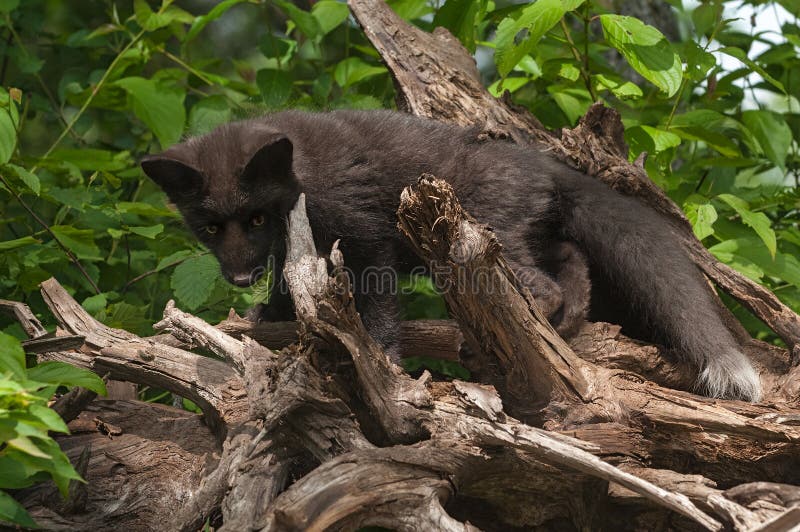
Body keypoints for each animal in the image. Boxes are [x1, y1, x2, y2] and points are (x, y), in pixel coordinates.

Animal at [141, 109, 762, 402]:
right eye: (209, 227)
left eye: (256, 218)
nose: (238, 275)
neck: (305, 175)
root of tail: (546, 165)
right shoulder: (302, 248)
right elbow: (285, 283)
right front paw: (267, 315)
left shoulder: (367, 238)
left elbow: (379, 313)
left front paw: (383, 363)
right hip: (524, 236)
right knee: (570, 261)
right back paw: (565, 327)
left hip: (488, 235)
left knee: (543, 284)